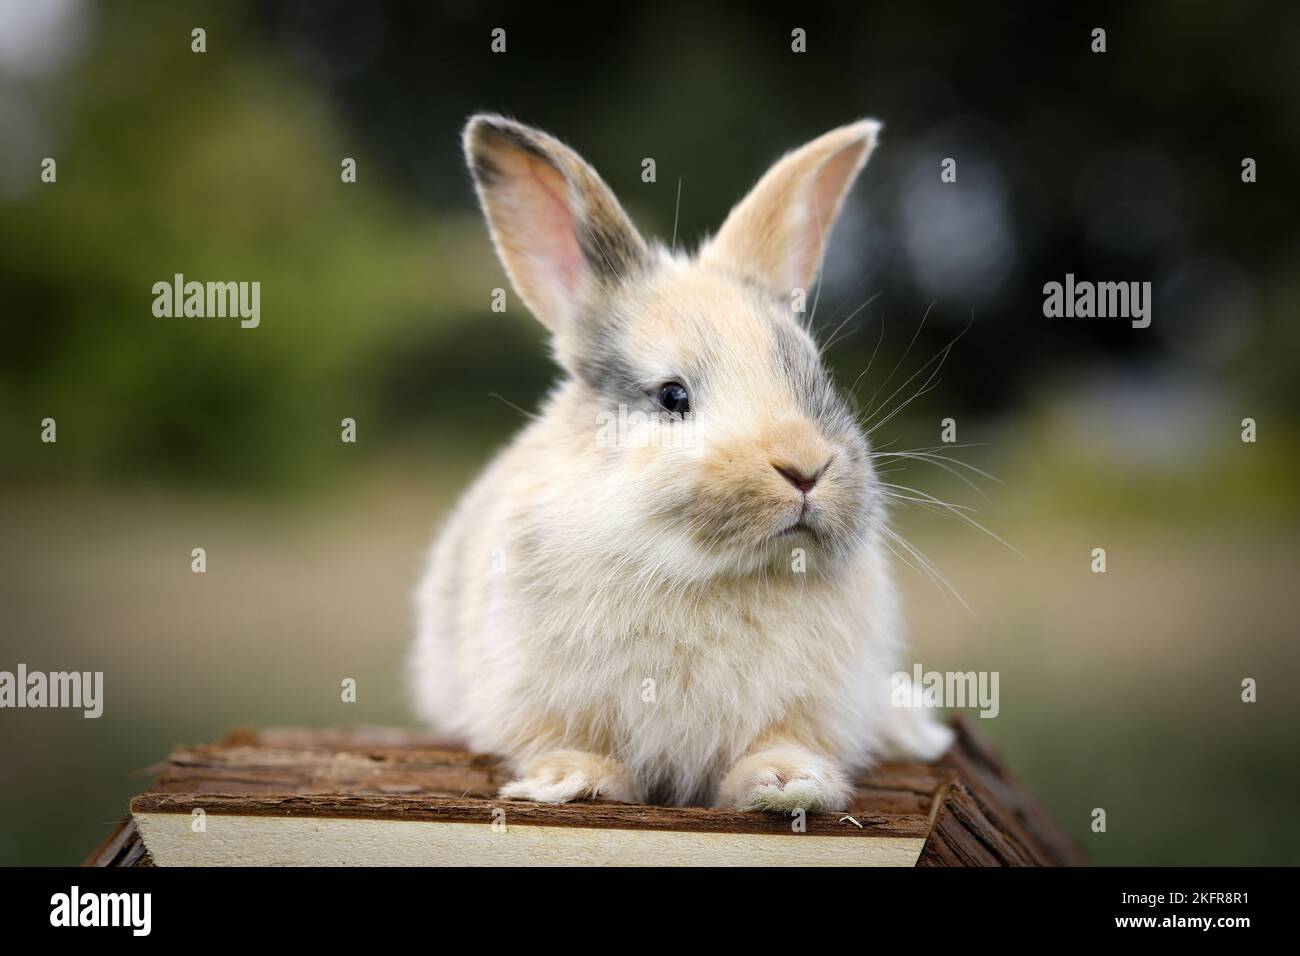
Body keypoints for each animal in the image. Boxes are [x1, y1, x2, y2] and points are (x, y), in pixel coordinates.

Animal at [410, 114, 954, 813]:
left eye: (816, 379)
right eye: (673, 397)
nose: (805, 468)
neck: (707, 571)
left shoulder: (809, 707)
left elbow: (779, 742)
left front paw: (789, 785)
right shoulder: (539, 697)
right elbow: (566, 740)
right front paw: (574, 782)